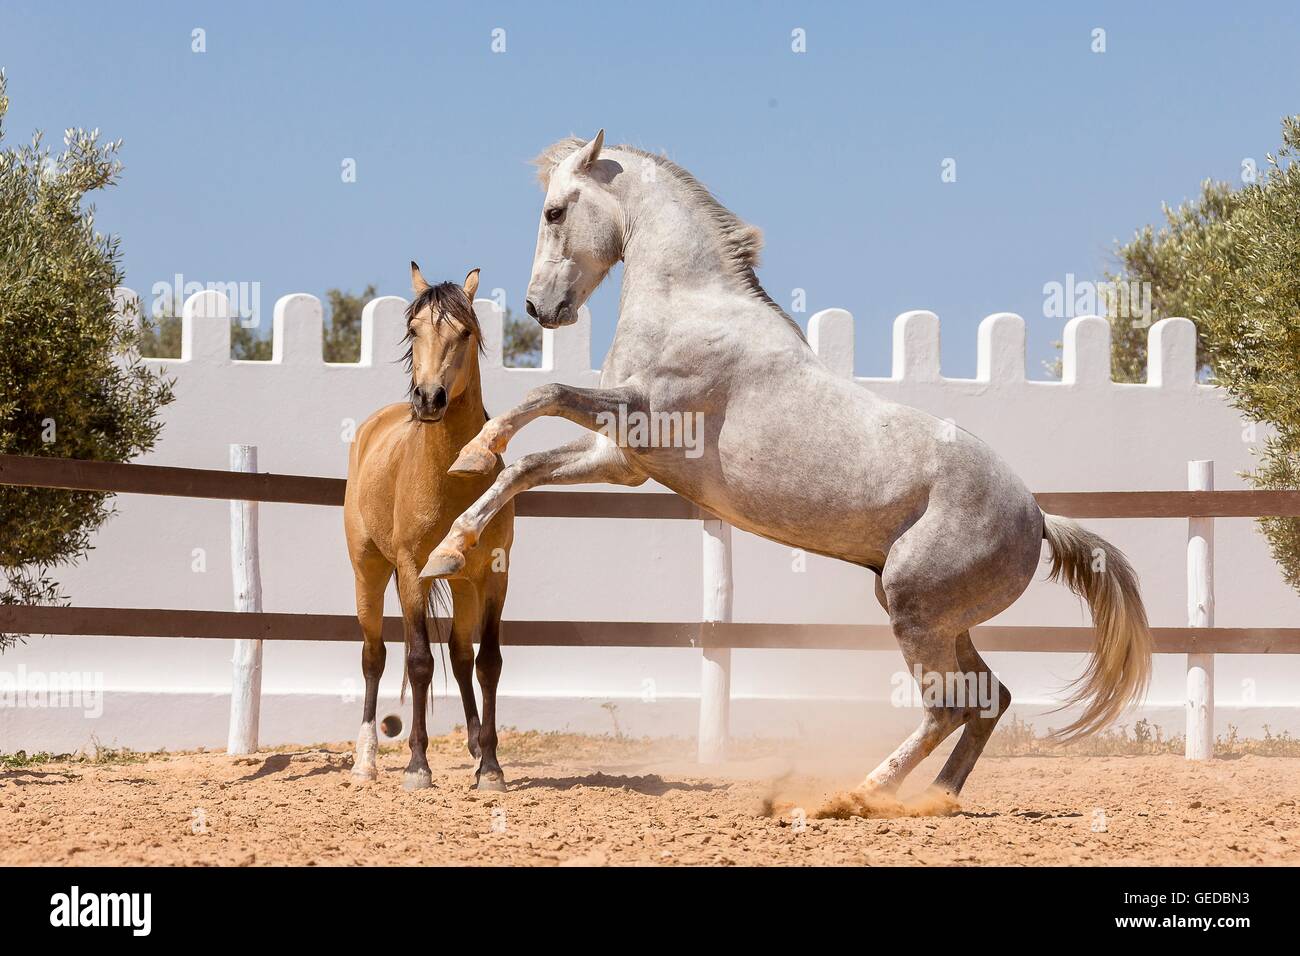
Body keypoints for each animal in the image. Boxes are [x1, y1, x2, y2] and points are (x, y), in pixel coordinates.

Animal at [343, 263, 513, 792]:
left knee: (460, 658)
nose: (429, 399)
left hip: (461, 584)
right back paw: (366, 762)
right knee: (374, 657)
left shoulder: (494, 576)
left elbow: (487, 662)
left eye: (466, 332)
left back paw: (477, 748)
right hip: (370, 572)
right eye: (413, 330)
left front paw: (491, 767)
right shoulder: (411, 572)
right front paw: (418, 767)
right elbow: (418, 663)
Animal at [421, 132, 1151, 805]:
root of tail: (1037, 518)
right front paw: (448, 547)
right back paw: (937, 801)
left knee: (947, 706)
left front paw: (470, 454)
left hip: (915, 609)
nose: (540, 308)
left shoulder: (642, 420)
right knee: (988, 698)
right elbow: (523, 466)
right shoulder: (622, 459)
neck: (692, 309)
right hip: (935, 613)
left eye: (553, 211)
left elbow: (541, 396)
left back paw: (861, 794)